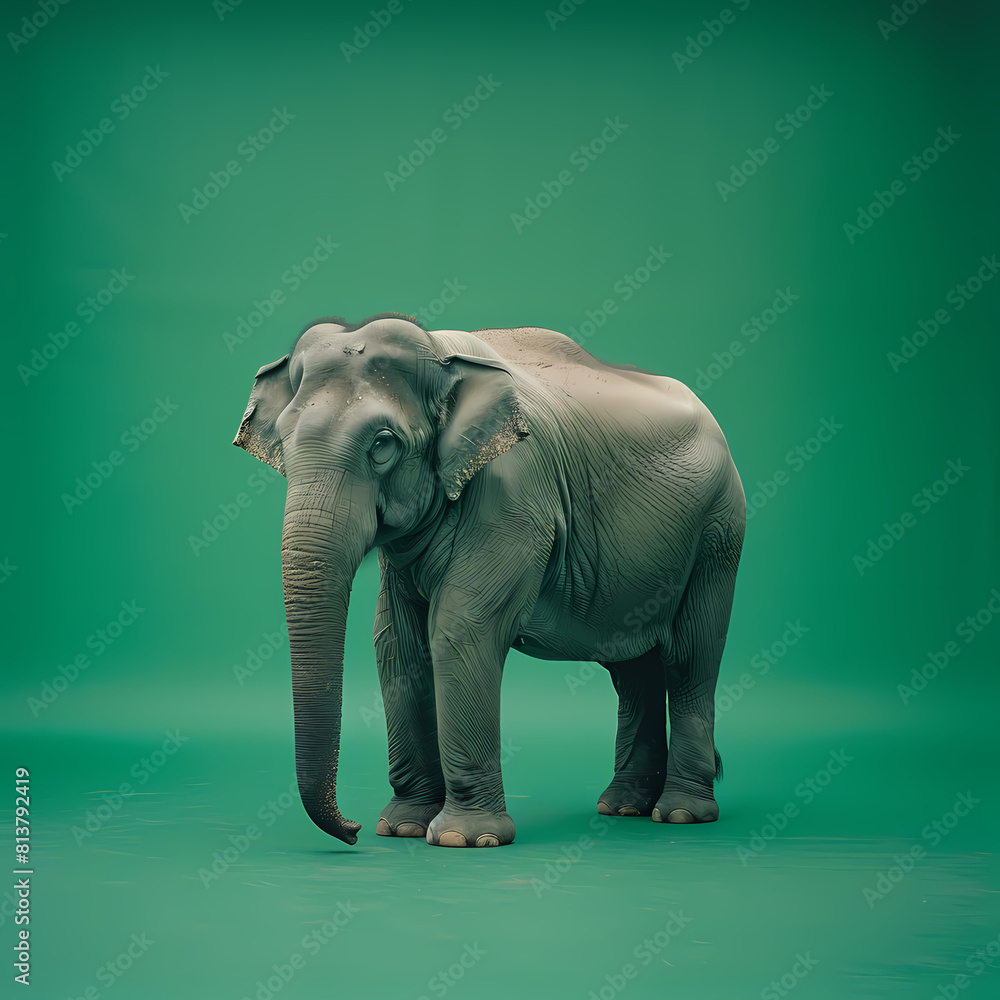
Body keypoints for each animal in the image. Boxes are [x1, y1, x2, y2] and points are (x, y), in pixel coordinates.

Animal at [233, 311, 745, 849]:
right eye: (284, 443)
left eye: (383, 445)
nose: (352, 832)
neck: (441, 353)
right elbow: (396, 642)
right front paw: (402, 828)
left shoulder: (515, 494)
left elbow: (460, 630)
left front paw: (464, 839)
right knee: (633, 668)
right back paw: (623, 807)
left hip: (719, 531)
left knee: (690, 657)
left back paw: (680, 813)